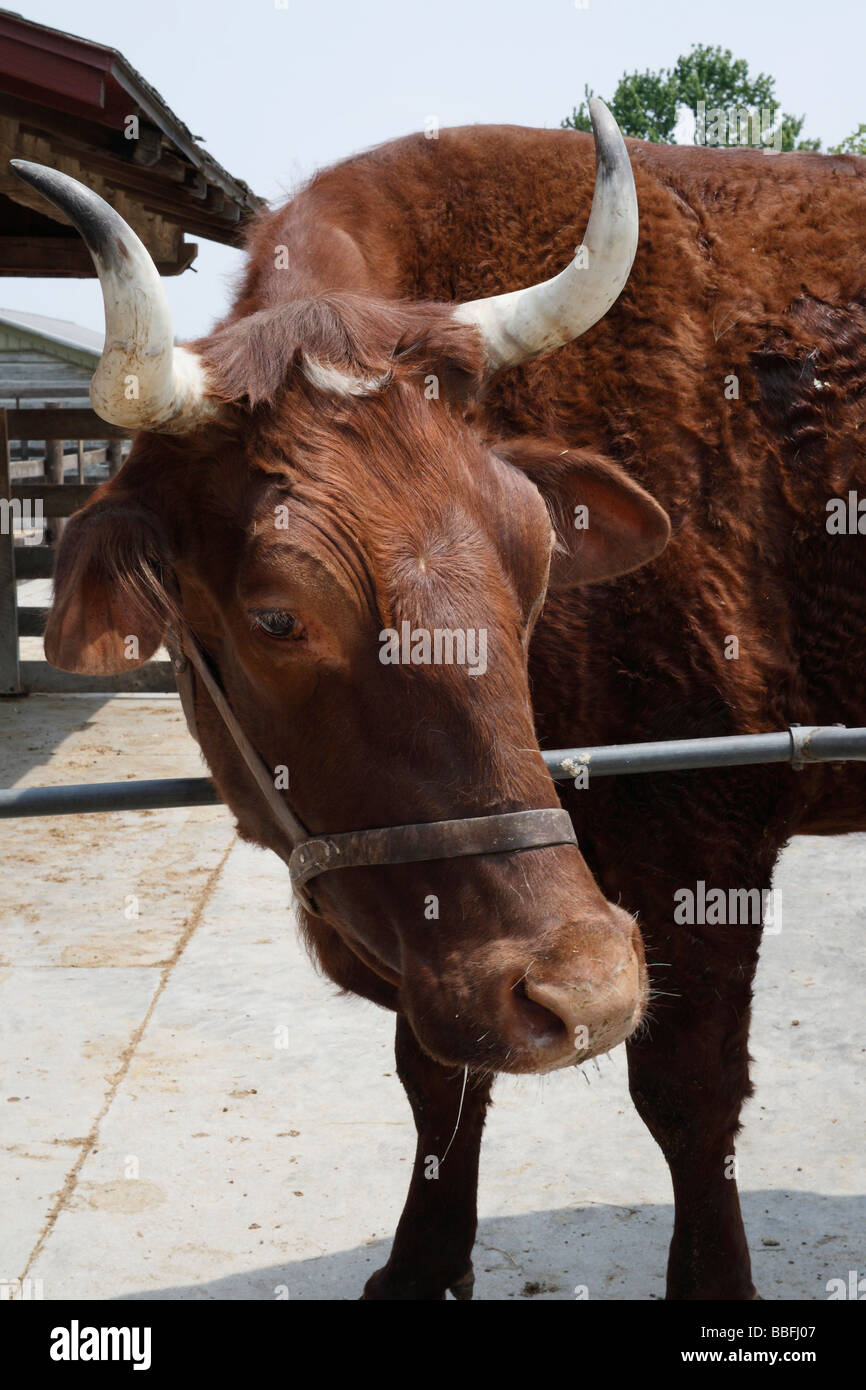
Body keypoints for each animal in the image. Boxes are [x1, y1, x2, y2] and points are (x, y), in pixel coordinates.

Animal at [12, 98, 865, 1301]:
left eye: (536, 561)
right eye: (276, 616)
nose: (584, 987)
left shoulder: (706, 828)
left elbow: (688, 1094)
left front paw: (713, 1286)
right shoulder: (439, 929)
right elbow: (437, 1078)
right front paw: (419, 1264)